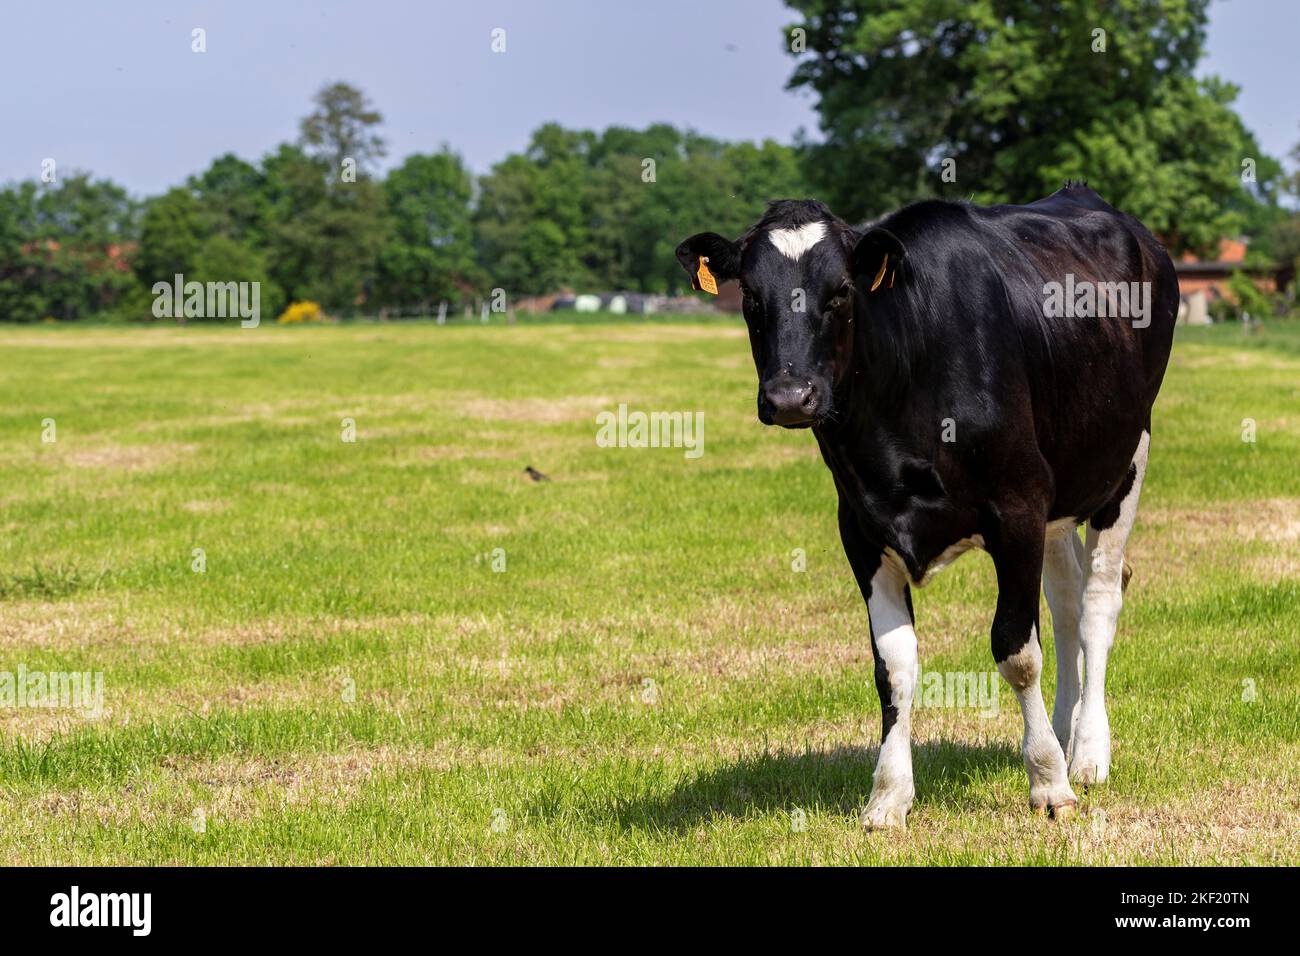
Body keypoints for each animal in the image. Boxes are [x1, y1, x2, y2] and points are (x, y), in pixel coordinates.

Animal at [676, 184, 1177, 828]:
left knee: (1097, 604)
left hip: (1126, 457)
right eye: (751, 298)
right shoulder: (861, 529)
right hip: (1060, 491)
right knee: (1065, 602)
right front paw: (888, 796)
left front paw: (1048, 783)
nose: (790, 396)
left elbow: (1017, 652)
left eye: (841, 292)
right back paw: (1066, 732)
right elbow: (894, 667)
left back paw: (1087, 753)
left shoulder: (1018, 507)